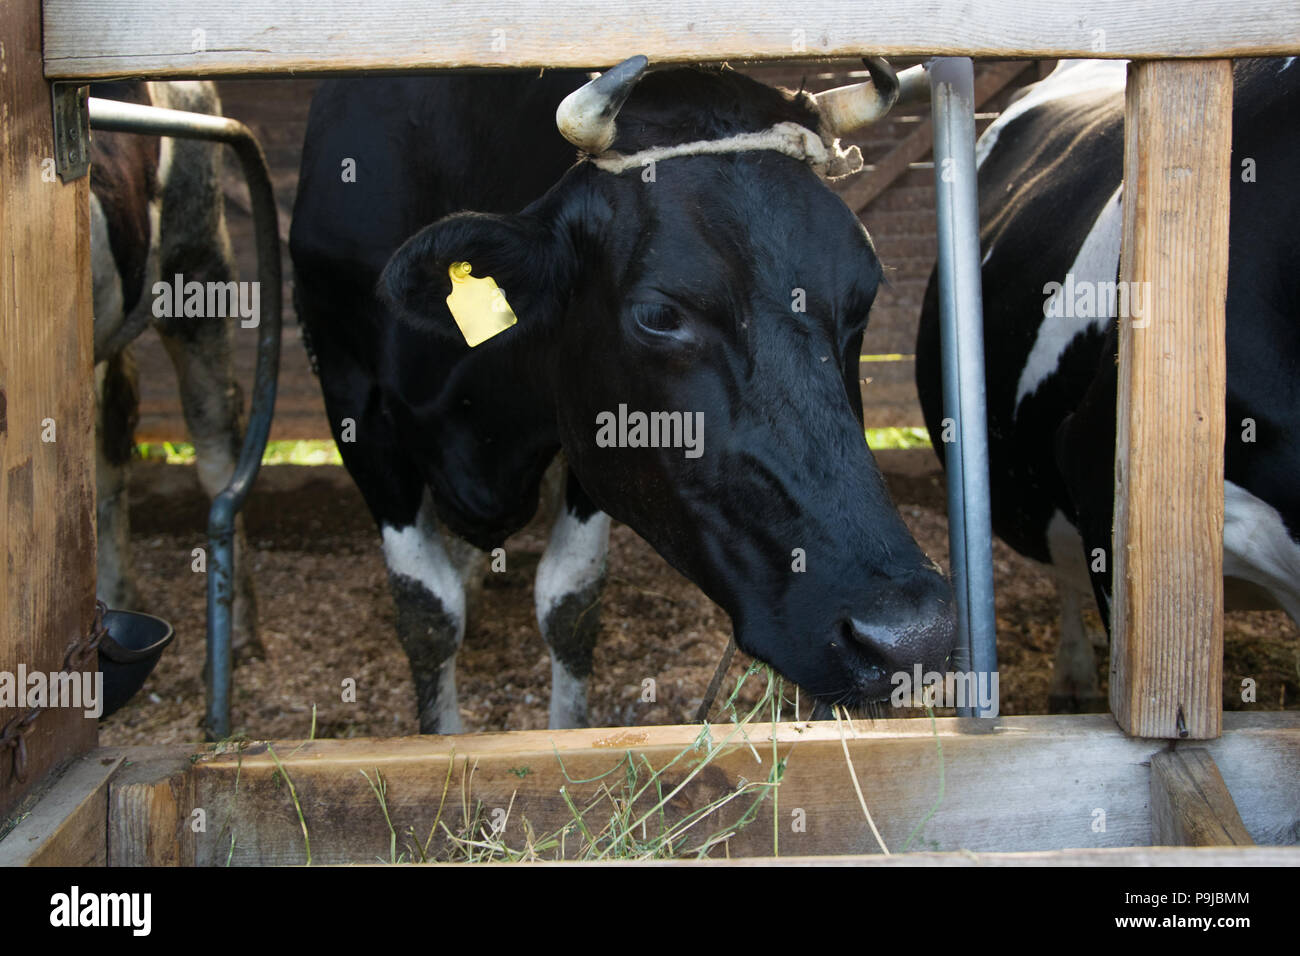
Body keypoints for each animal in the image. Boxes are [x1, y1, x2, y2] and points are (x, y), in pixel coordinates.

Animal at [289, 57, 957, 734]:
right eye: (659, 314)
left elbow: (570, 603)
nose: (912, 635)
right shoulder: (352, 401)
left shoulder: (595, 434)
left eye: (864, 296)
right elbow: (427, 613)